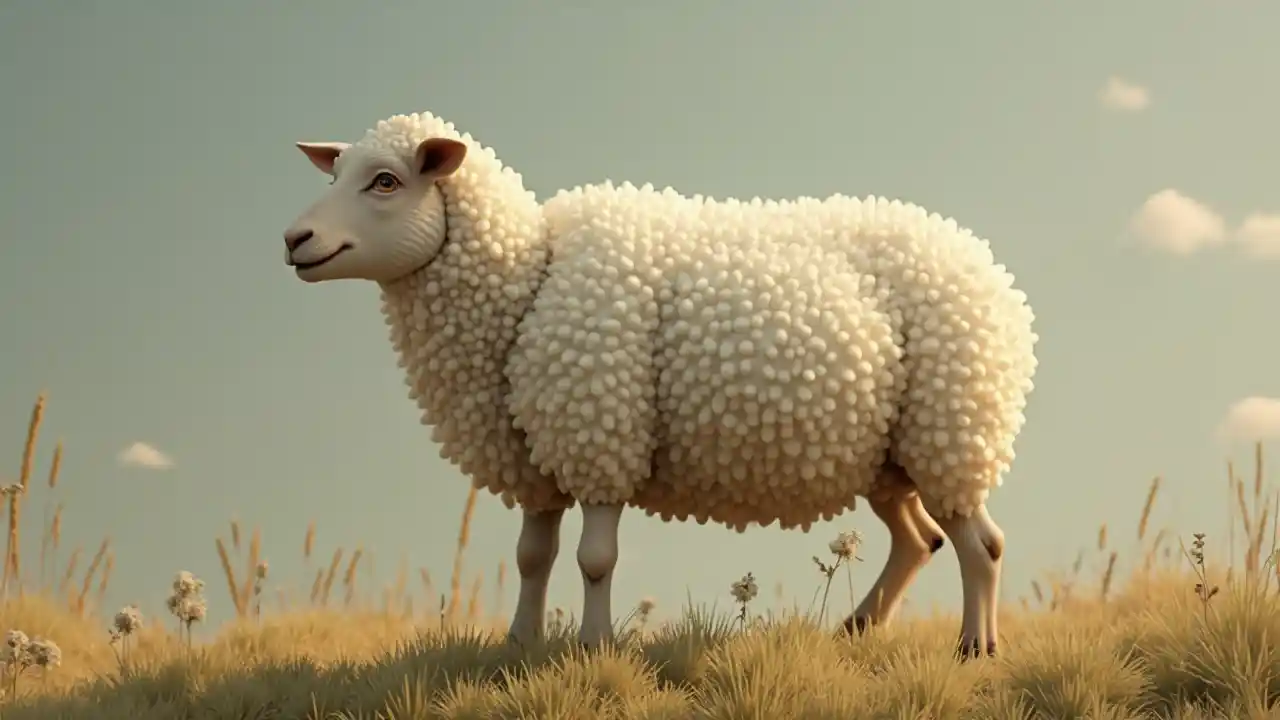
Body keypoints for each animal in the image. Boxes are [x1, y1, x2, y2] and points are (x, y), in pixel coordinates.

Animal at [282, 111, 1038, 659]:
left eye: (385, 181)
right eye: (338, 170)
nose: (294, 239)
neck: (526, 280)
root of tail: (991, 270)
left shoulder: (600, 436)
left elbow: (593, 559)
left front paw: (593, 648)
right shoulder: (539, 456)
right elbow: (532, 557)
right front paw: (518, 646)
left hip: (951, 430)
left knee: (982, 543)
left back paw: (975, 647)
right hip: (893, 457)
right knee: (920, 540)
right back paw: (857, 628)